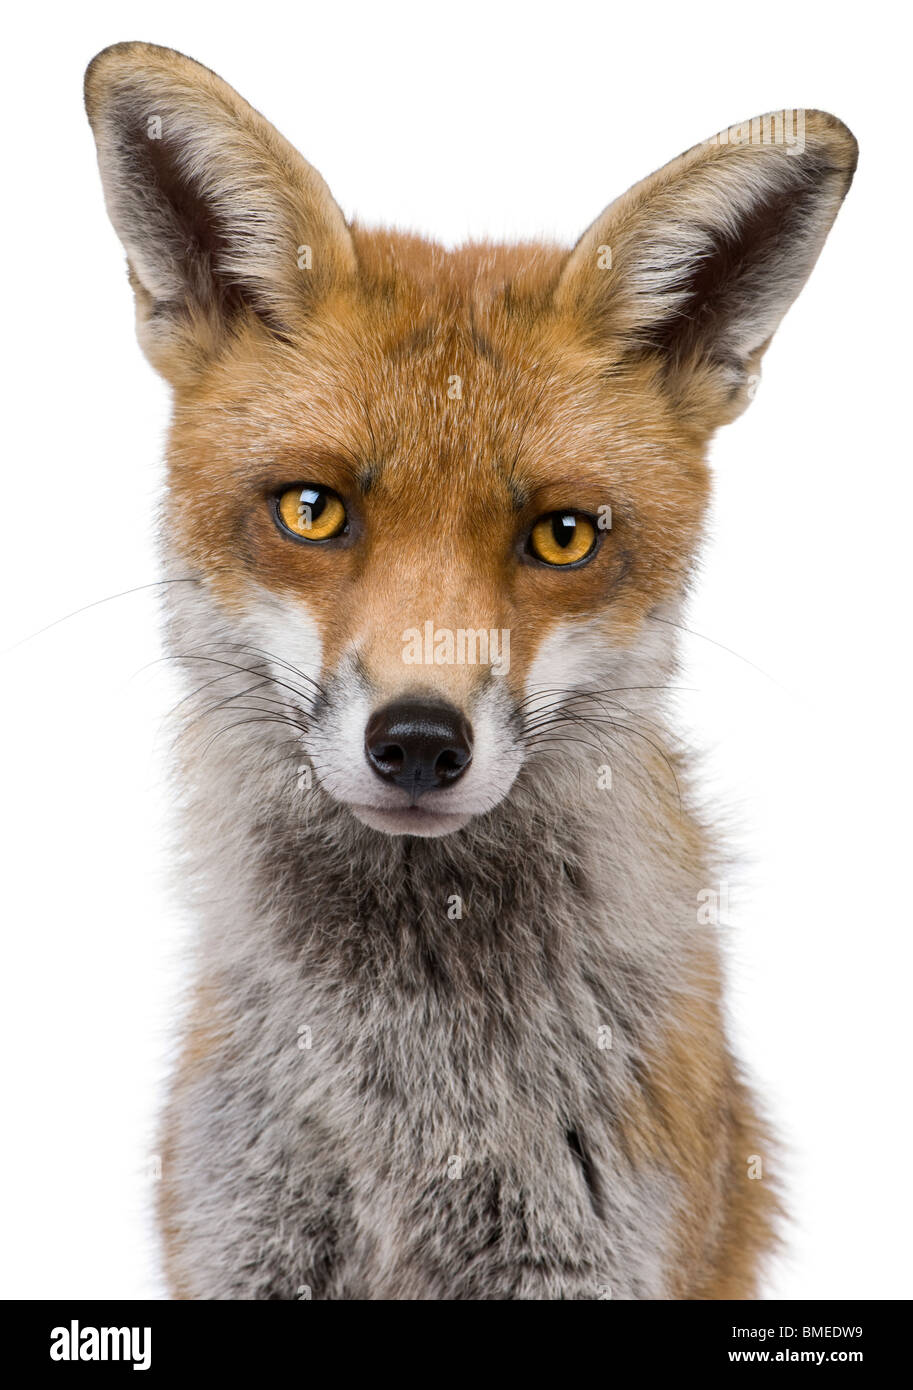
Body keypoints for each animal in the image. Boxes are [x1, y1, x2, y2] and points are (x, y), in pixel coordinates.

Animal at [84, 42, 856, 1299]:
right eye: (313, 511)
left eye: (562, 536)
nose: (416, 741)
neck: (411, 1095)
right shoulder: (243, 1239)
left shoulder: (583, 1256)